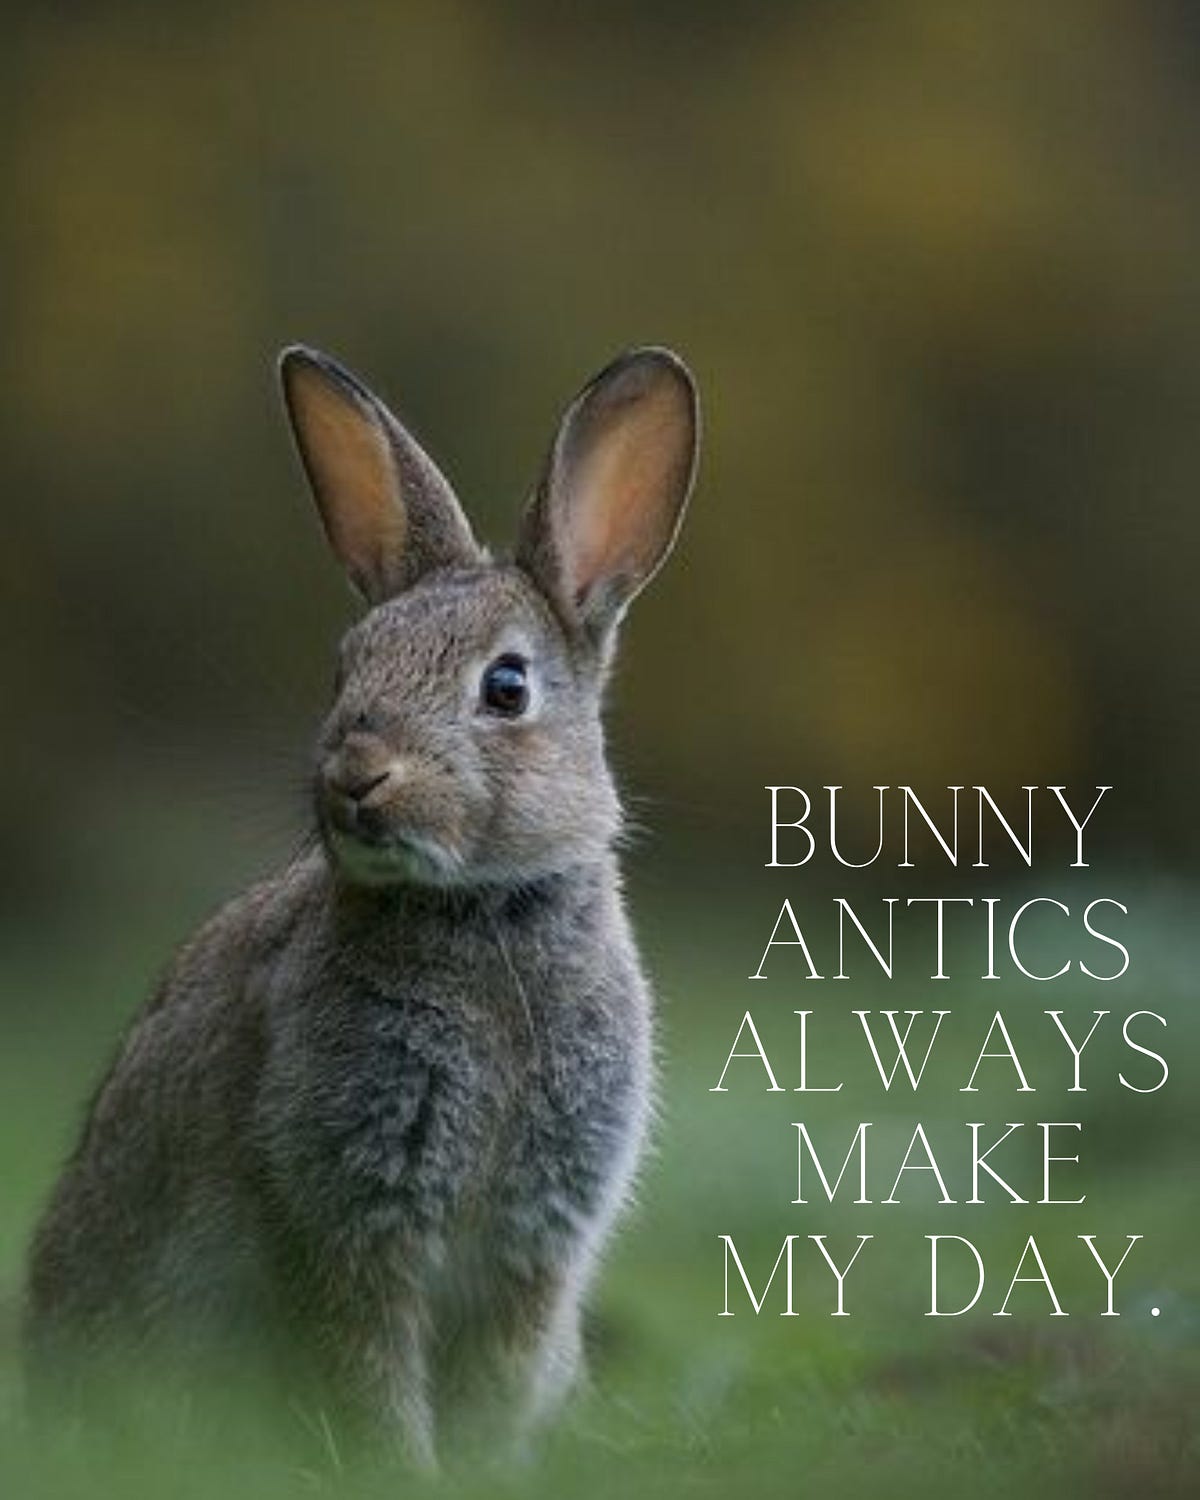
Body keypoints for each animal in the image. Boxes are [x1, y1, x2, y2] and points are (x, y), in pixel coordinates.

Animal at [23, 343, 699, 1469]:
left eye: (506, 687)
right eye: (346, 670)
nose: (355, 777)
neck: (479, 911)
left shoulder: (530, 1249)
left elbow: (493, 1373)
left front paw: (482, 1471)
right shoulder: (349, 1216)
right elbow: (369, 1363)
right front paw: (406, 1470)